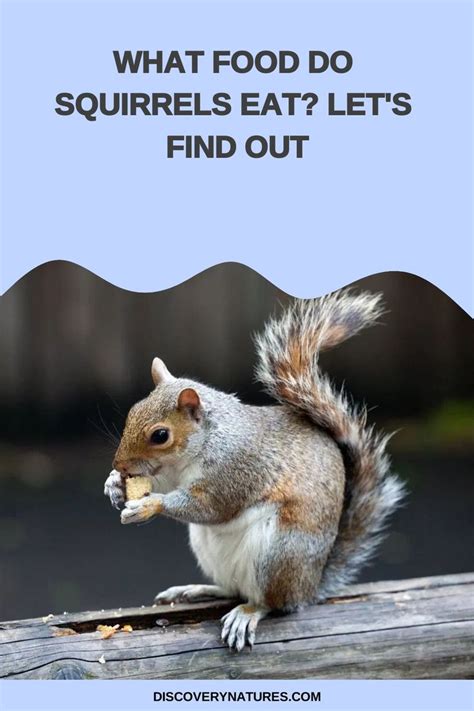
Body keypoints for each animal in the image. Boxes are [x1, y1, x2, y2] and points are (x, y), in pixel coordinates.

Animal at [104, 289, 404, 651]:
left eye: (160, 435)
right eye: (132, 412)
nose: (119, 465)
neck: (204, 443)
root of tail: (309, 587)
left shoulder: (235, 469)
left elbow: (210, 506)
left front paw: (148, 504)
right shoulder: (172, 474)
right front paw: (114, 486)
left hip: (278, 553)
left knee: (269, 602)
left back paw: (248, 612)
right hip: (210, 549)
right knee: (233, 587)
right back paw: (197, 590)